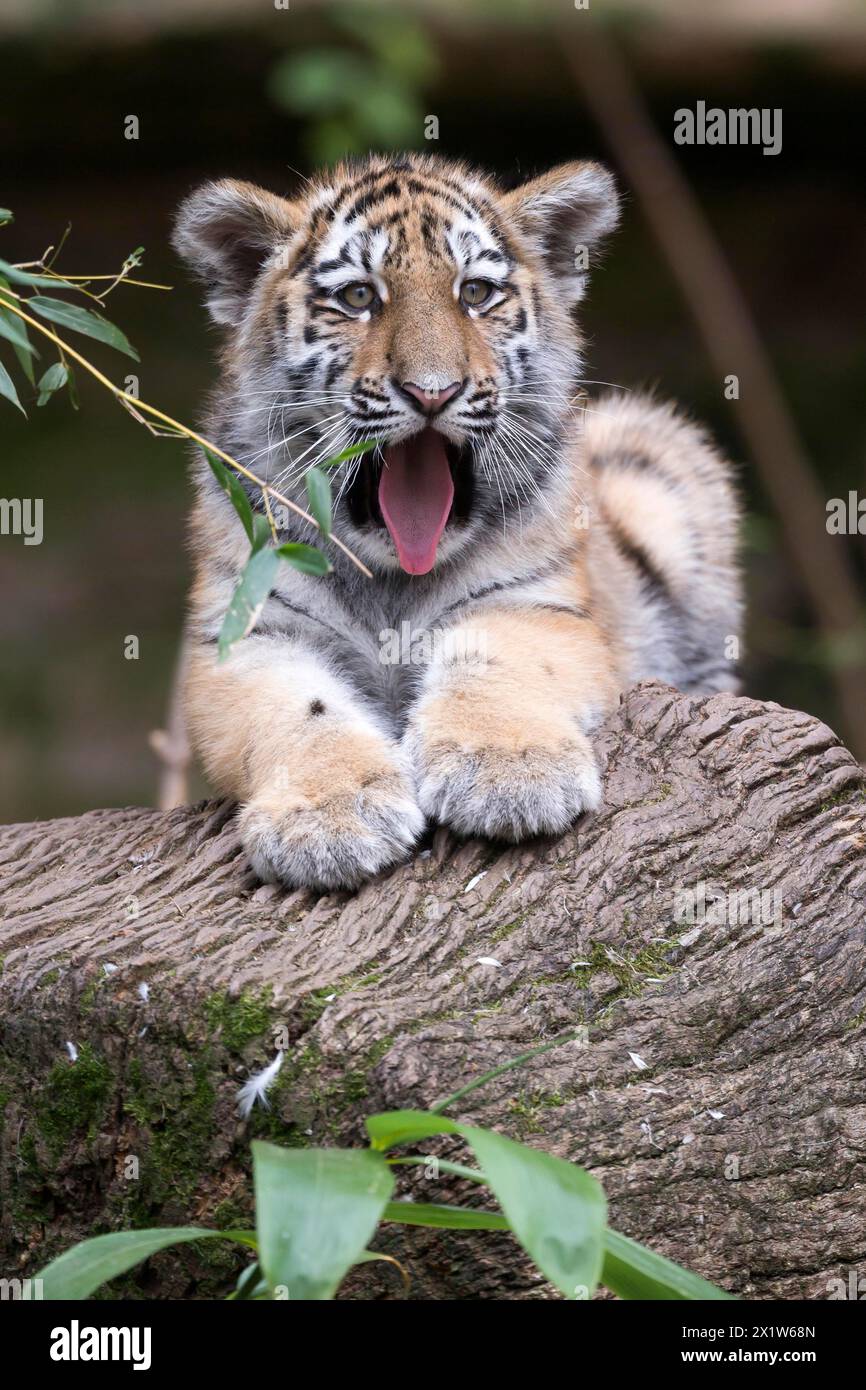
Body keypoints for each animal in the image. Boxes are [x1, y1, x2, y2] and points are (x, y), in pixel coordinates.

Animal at [172, 151, 741, 892]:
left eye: (475, 292)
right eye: (358, 298)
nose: (433, 392)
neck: (391, 573)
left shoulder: (534, 604)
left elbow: (492, 661)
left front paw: (510, 771)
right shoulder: (247, 633)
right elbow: (300, 712)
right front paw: (329, 816)